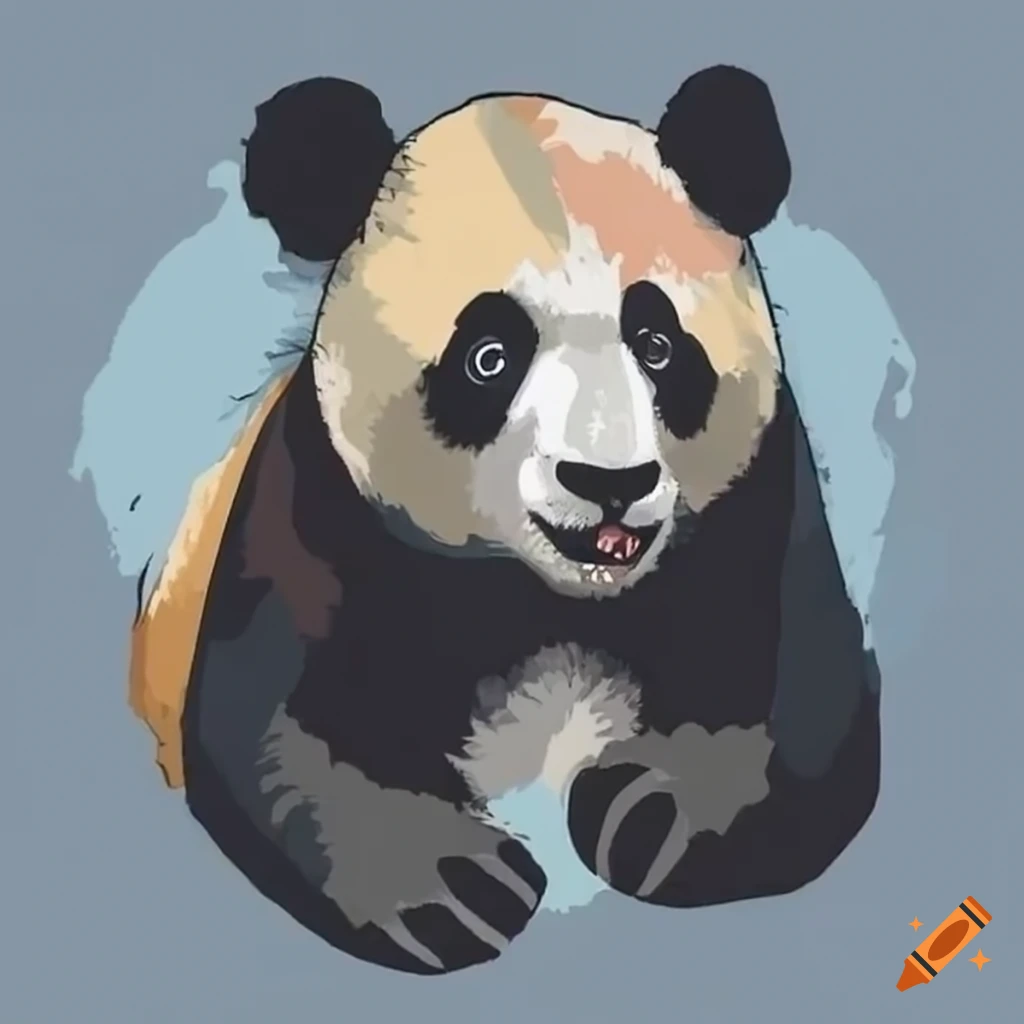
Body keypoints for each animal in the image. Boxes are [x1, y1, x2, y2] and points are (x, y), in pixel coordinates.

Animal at [152, 65, 881, 977]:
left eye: (657, 343)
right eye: (488, 358)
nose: (611, 483)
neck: (552, 595)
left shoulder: (756, 498)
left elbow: (803, 686)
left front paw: (656, 810)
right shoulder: (314, 499)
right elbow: (275, 722)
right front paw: (453, 885)